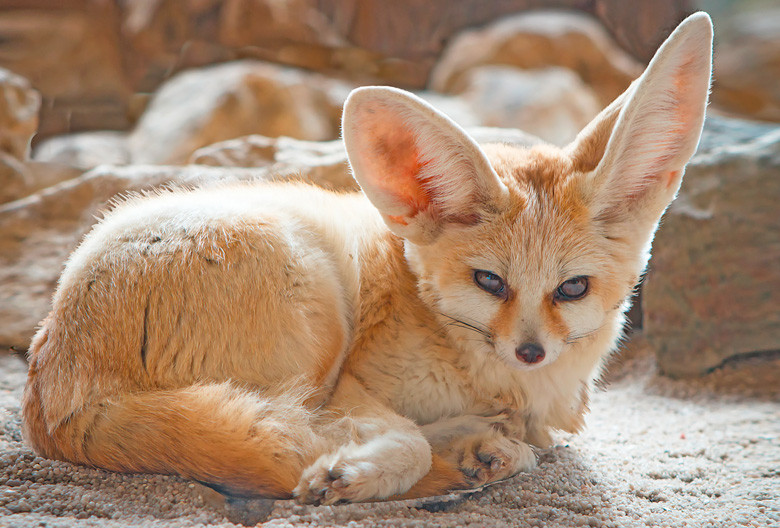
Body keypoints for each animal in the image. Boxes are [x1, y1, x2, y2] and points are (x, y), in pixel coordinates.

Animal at [21, 13, 713, 504]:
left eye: (572, 289)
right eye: (489, 281)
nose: (530, 352)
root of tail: (56, 403)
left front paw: (478, 445)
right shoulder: (349, 385)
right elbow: (403, 439)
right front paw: (365, 471)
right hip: (317, 317)